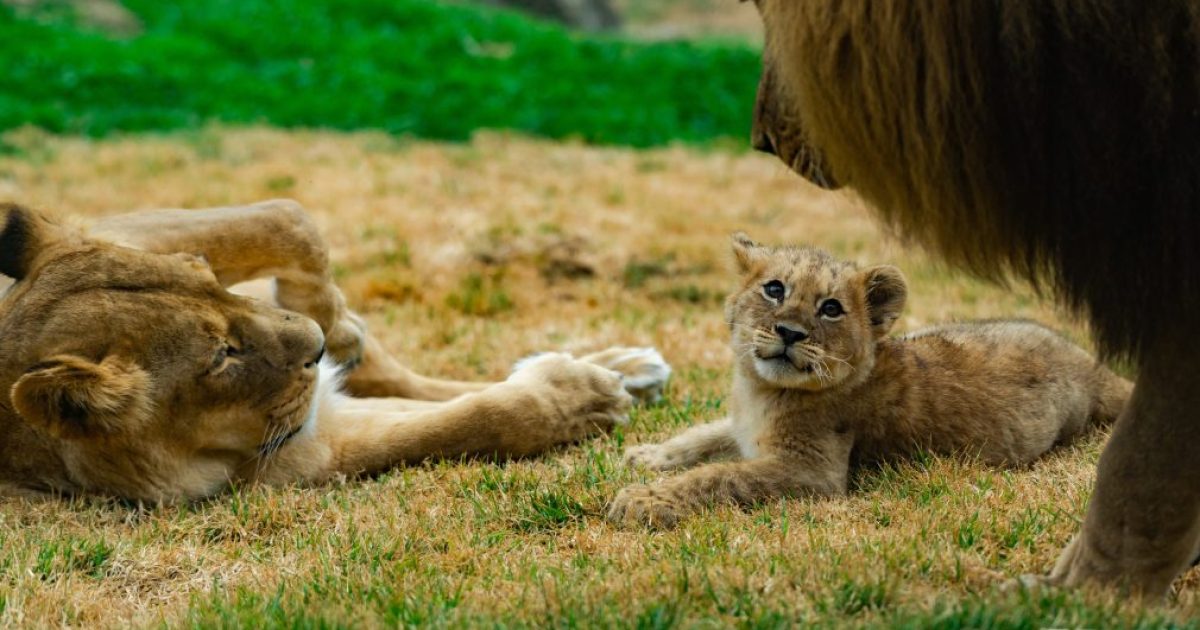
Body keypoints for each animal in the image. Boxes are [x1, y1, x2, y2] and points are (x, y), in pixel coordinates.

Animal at [0, 200, 670, 503]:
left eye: (206, 274)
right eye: (222, 357)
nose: (317, 348)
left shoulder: (119, 226)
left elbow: (287, 220)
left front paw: (335, 317)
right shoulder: (306, 450)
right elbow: (473, 420)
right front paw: (583, 399)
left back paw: (626, 364)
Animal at [607, 235, 1130, 528]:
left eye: (831, 308)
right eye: (774, 289)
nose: (789, 332)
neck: (760, 391)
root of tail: (1091, 365)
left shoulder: (811, 471)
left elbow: (720, 476)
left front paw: (643, 500)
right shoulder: (741, 427)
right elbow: (704, 435)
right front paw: (647, 456)